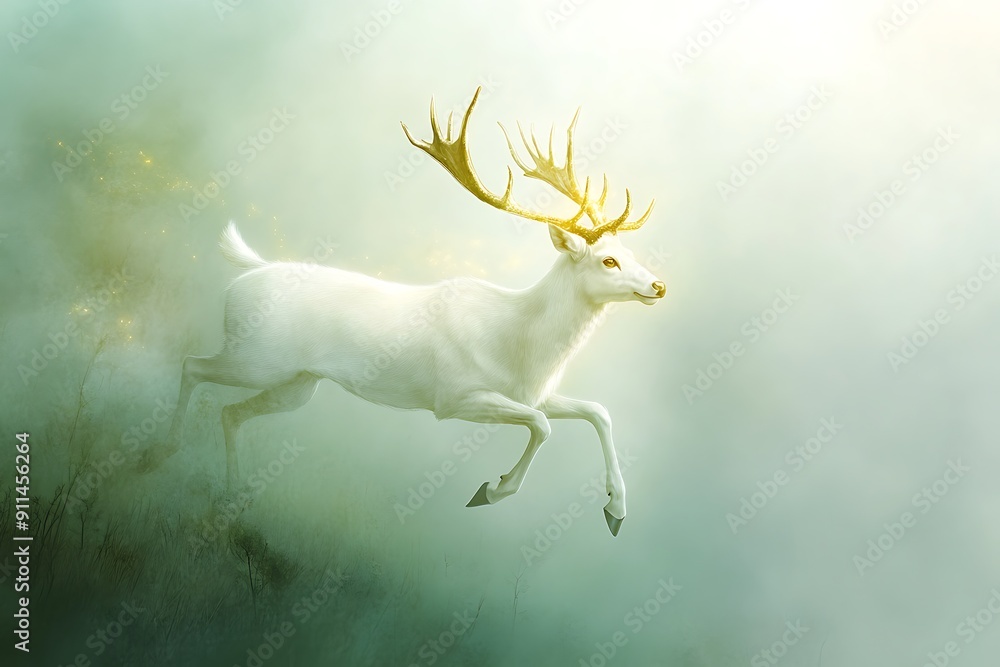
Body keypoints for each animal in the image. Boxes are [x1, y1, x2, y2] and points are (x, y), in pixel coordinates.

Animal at [142, 87, 665, 536]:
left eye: (629, 252)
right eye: (608, 260)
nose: (658, 285)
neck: (523, 346)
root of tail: (250, 271)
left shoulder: (533, 393)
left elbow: (598, 412)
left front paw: (616, 509)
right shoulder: (455, 397)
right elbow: (542, 426)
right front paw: (491, 490)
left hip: (297, 384)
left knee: (230, 412)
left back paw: (232, 494)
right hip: (257, 357)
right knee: (192, 365)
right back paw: (164, 450)